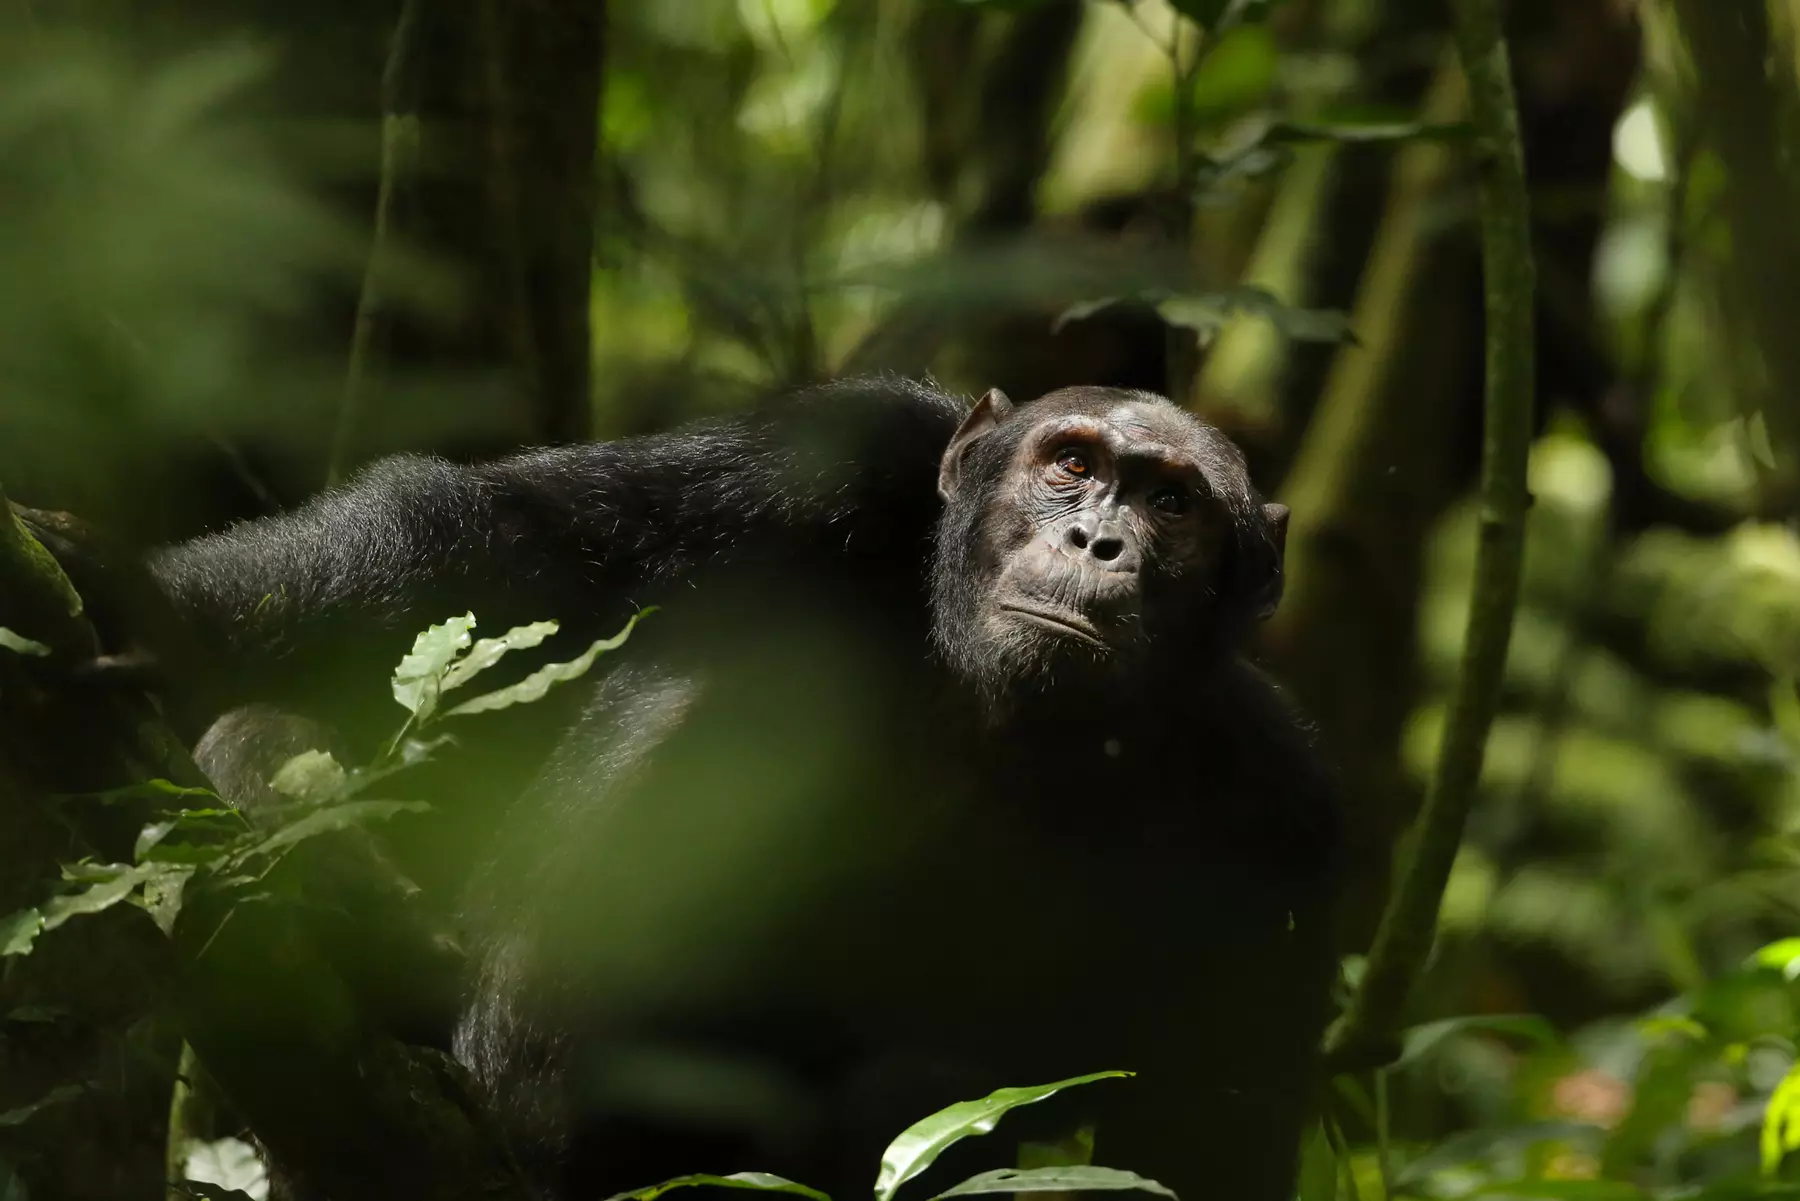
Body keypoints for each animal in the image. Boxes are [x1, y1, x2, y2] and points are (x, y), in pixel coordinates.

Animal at [81, 379, 1339, 1201]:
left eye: (1173, 504)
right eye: (1071, 463)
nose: (1097, 541)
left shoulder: (1285, 827)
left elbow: (1206, 1139)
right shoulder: (838, 453)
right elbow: (507, 542)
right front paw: (125, 591)